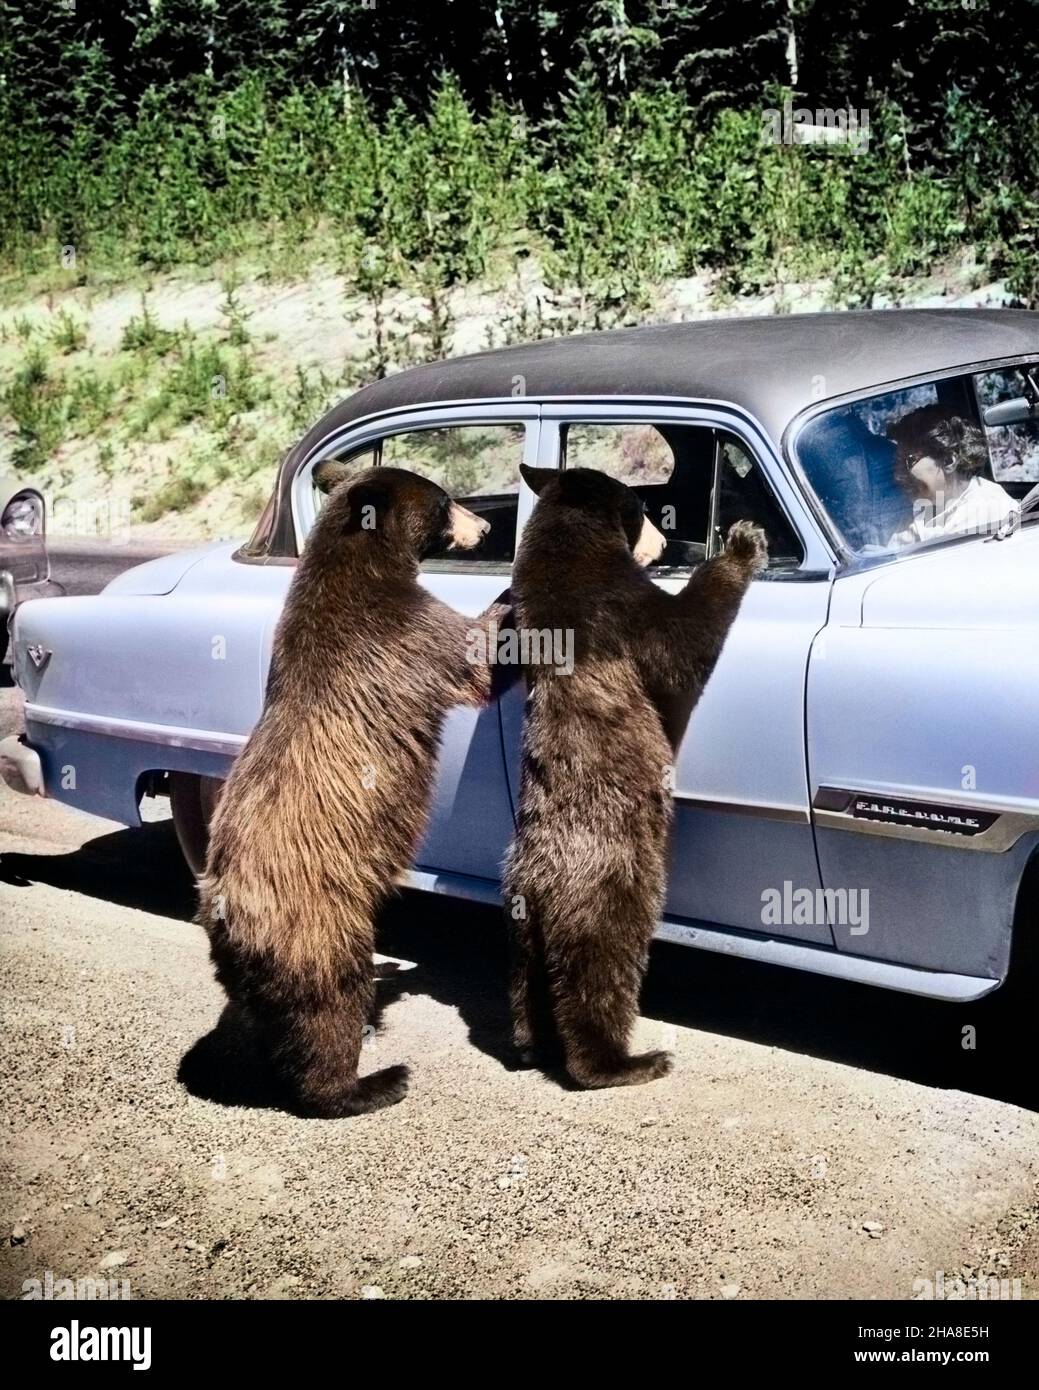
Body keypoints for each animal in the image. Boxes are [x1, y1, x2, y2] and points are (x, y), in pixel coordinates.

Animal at [198, 464, 509, 1117]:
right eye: (445, 500)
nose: (487, 525)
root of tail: (224, 912)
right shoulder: (403, 631)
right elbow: (474, 658)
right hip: (319, 926)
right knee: (331, 1004)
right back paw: (370, 1081)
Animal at [502, 463, 768, 1089]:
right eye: (642, 506)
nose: (664, 540)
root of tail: (538, 888)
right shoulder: (617, 609)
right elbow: (681, 642)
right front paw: (744, 542)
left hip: (519, 923)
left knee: (525, 984)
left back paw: (527, 1044)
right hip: (610, 892)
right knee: (601, 973)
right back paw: (628, 1060)